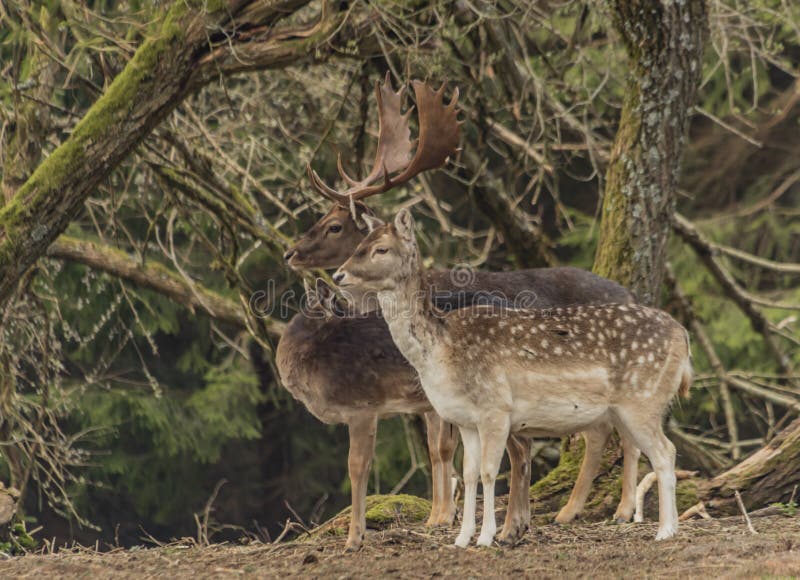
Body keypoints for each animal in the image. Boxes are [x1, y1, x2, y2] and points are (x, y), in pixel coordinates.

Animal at [277, 75, 639, 550]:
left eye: (335, 226)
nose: (290, 252)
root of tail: (632, 294)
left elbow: (442, 450)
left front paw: (440, 518)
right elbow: (446, 451)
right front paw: (444, 516)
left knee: (609, 433)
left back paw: (609, 510)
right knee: (598, 432)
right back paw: (568, 513)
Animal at [333, 208, 693, 546]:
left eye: (380, 248)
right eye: (359, 244)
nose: (338, 274)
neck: (441, 352)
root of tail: (683, 337)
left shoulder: (495, 408)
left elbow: (490, 472)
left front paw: (487, 537)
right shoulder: (465, 419)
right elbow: (469, 474)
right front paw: (461, 539)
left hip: (642, 399)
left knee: (665, 452)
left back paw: (664, 531)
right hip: (624, 408)